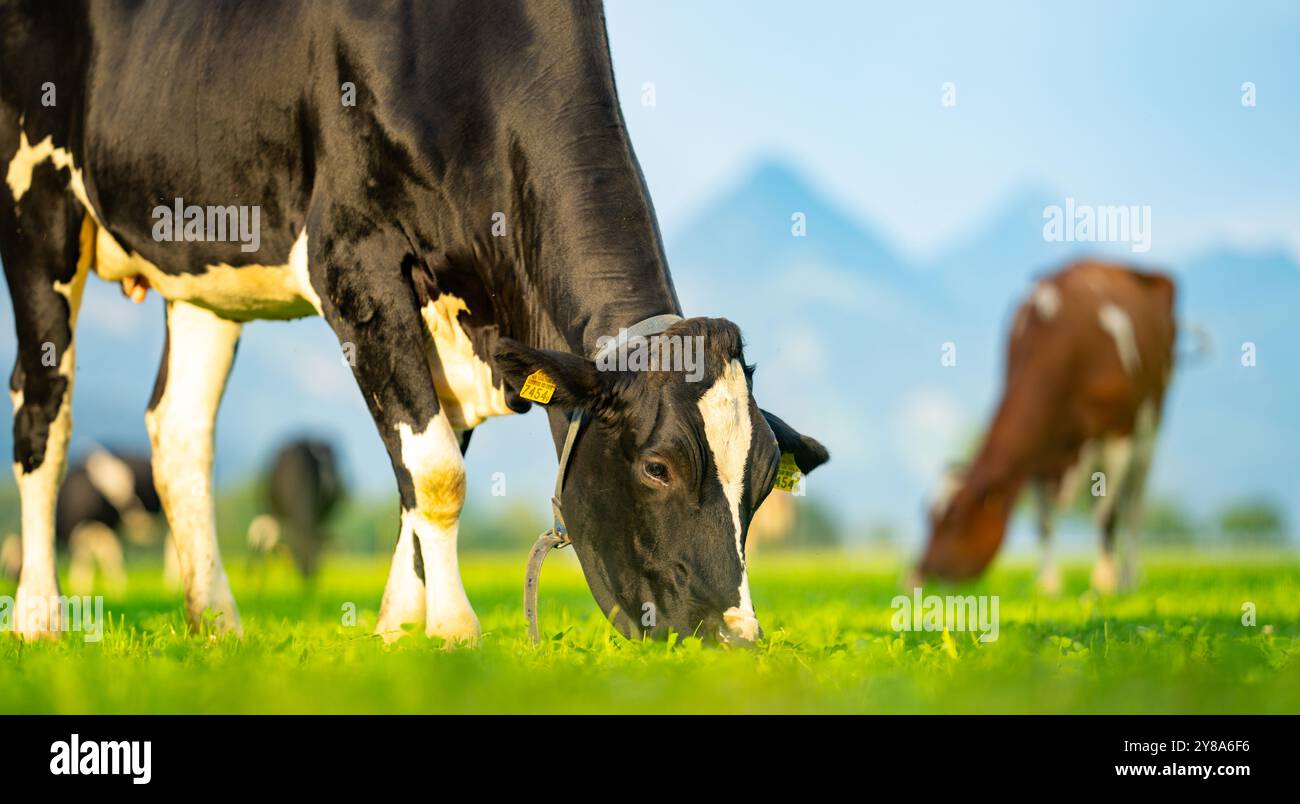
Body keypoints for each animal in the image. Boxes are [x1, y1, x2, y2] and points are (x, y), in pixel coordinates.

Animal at [917, 260, 1176, 593]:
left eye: (956, 519)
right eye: (928, 516)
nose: (917, 576)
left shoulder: (1118, 434)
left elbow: (1107, 512)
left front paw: (1105, 580)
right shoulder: (1040, 452)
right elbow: (1044, 522)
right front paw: (1048, 584)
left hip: (1150, 429)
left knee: (1134, 505)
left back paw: (1129, 576)